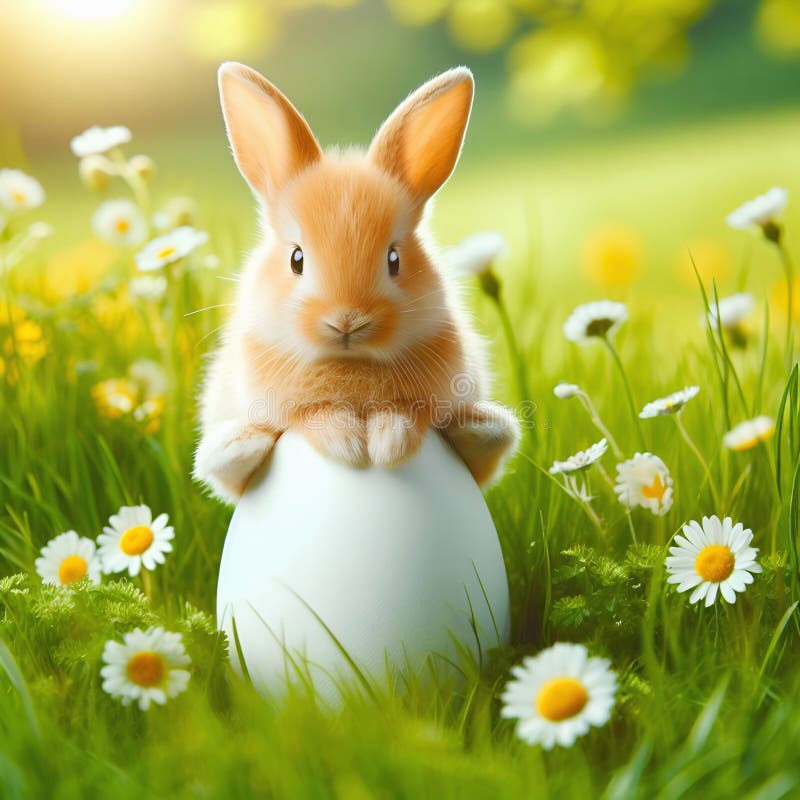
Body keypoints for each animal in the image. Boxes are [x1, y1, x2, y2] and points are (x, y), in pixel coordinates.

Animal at [194, 62, 521, 503]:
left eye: (394, 259)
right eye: (296, 259)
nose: (347, 320)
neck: (351, 364)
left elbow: (409, 415)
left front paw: (390, 439)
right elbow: (313, 414)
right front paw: (346, 442)